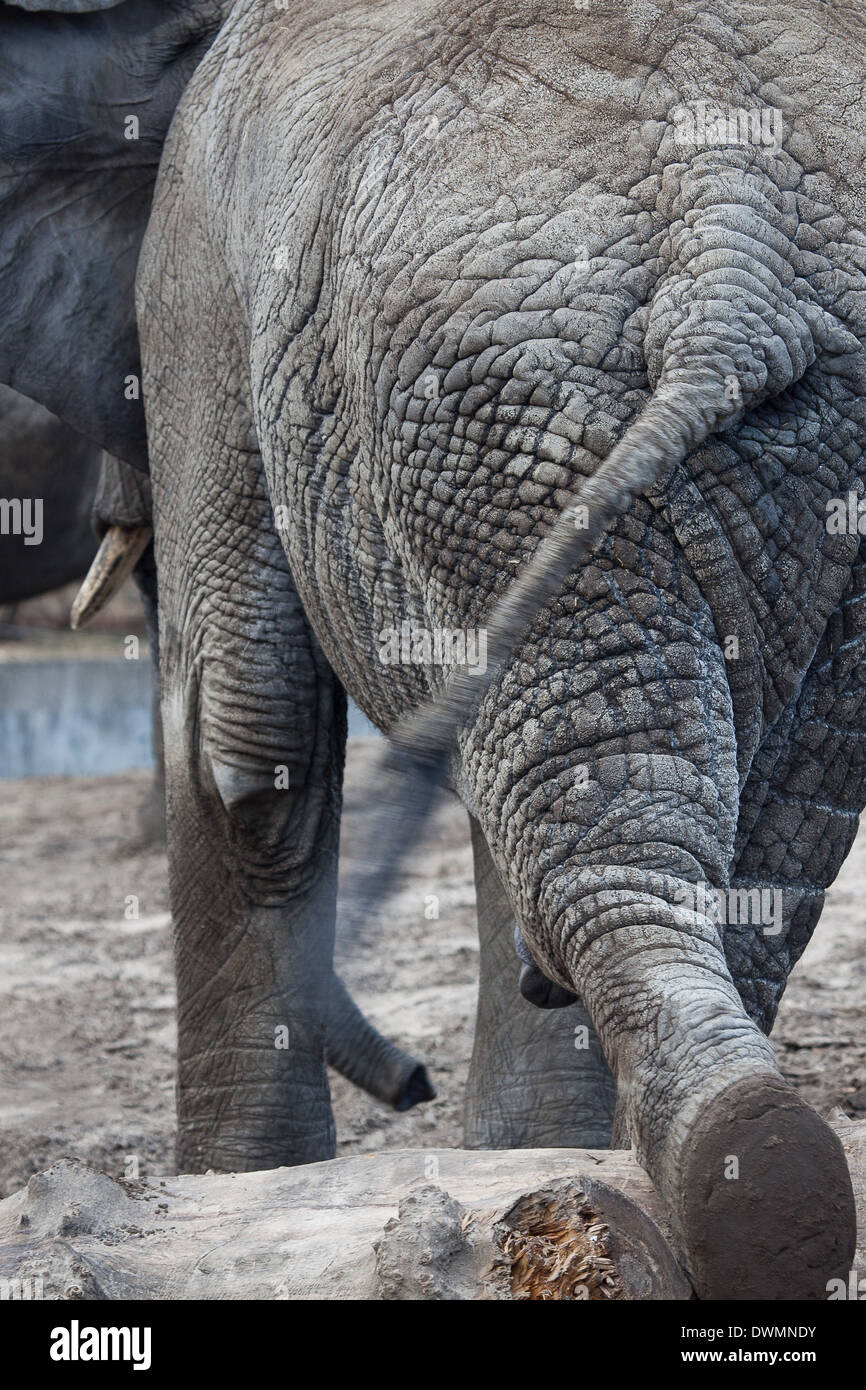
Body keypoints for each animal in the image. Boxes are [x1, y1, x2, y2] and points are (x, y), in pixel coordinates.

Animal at [2, 0, 865, 1300]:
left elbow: (243, 743)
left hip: (495, 409)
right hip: (679, 449)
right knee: (742, 820)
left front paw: (235, 1193)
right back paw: (725, 1181)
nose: (401, 1082)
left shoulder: (195, 264)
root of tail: (733, 250)